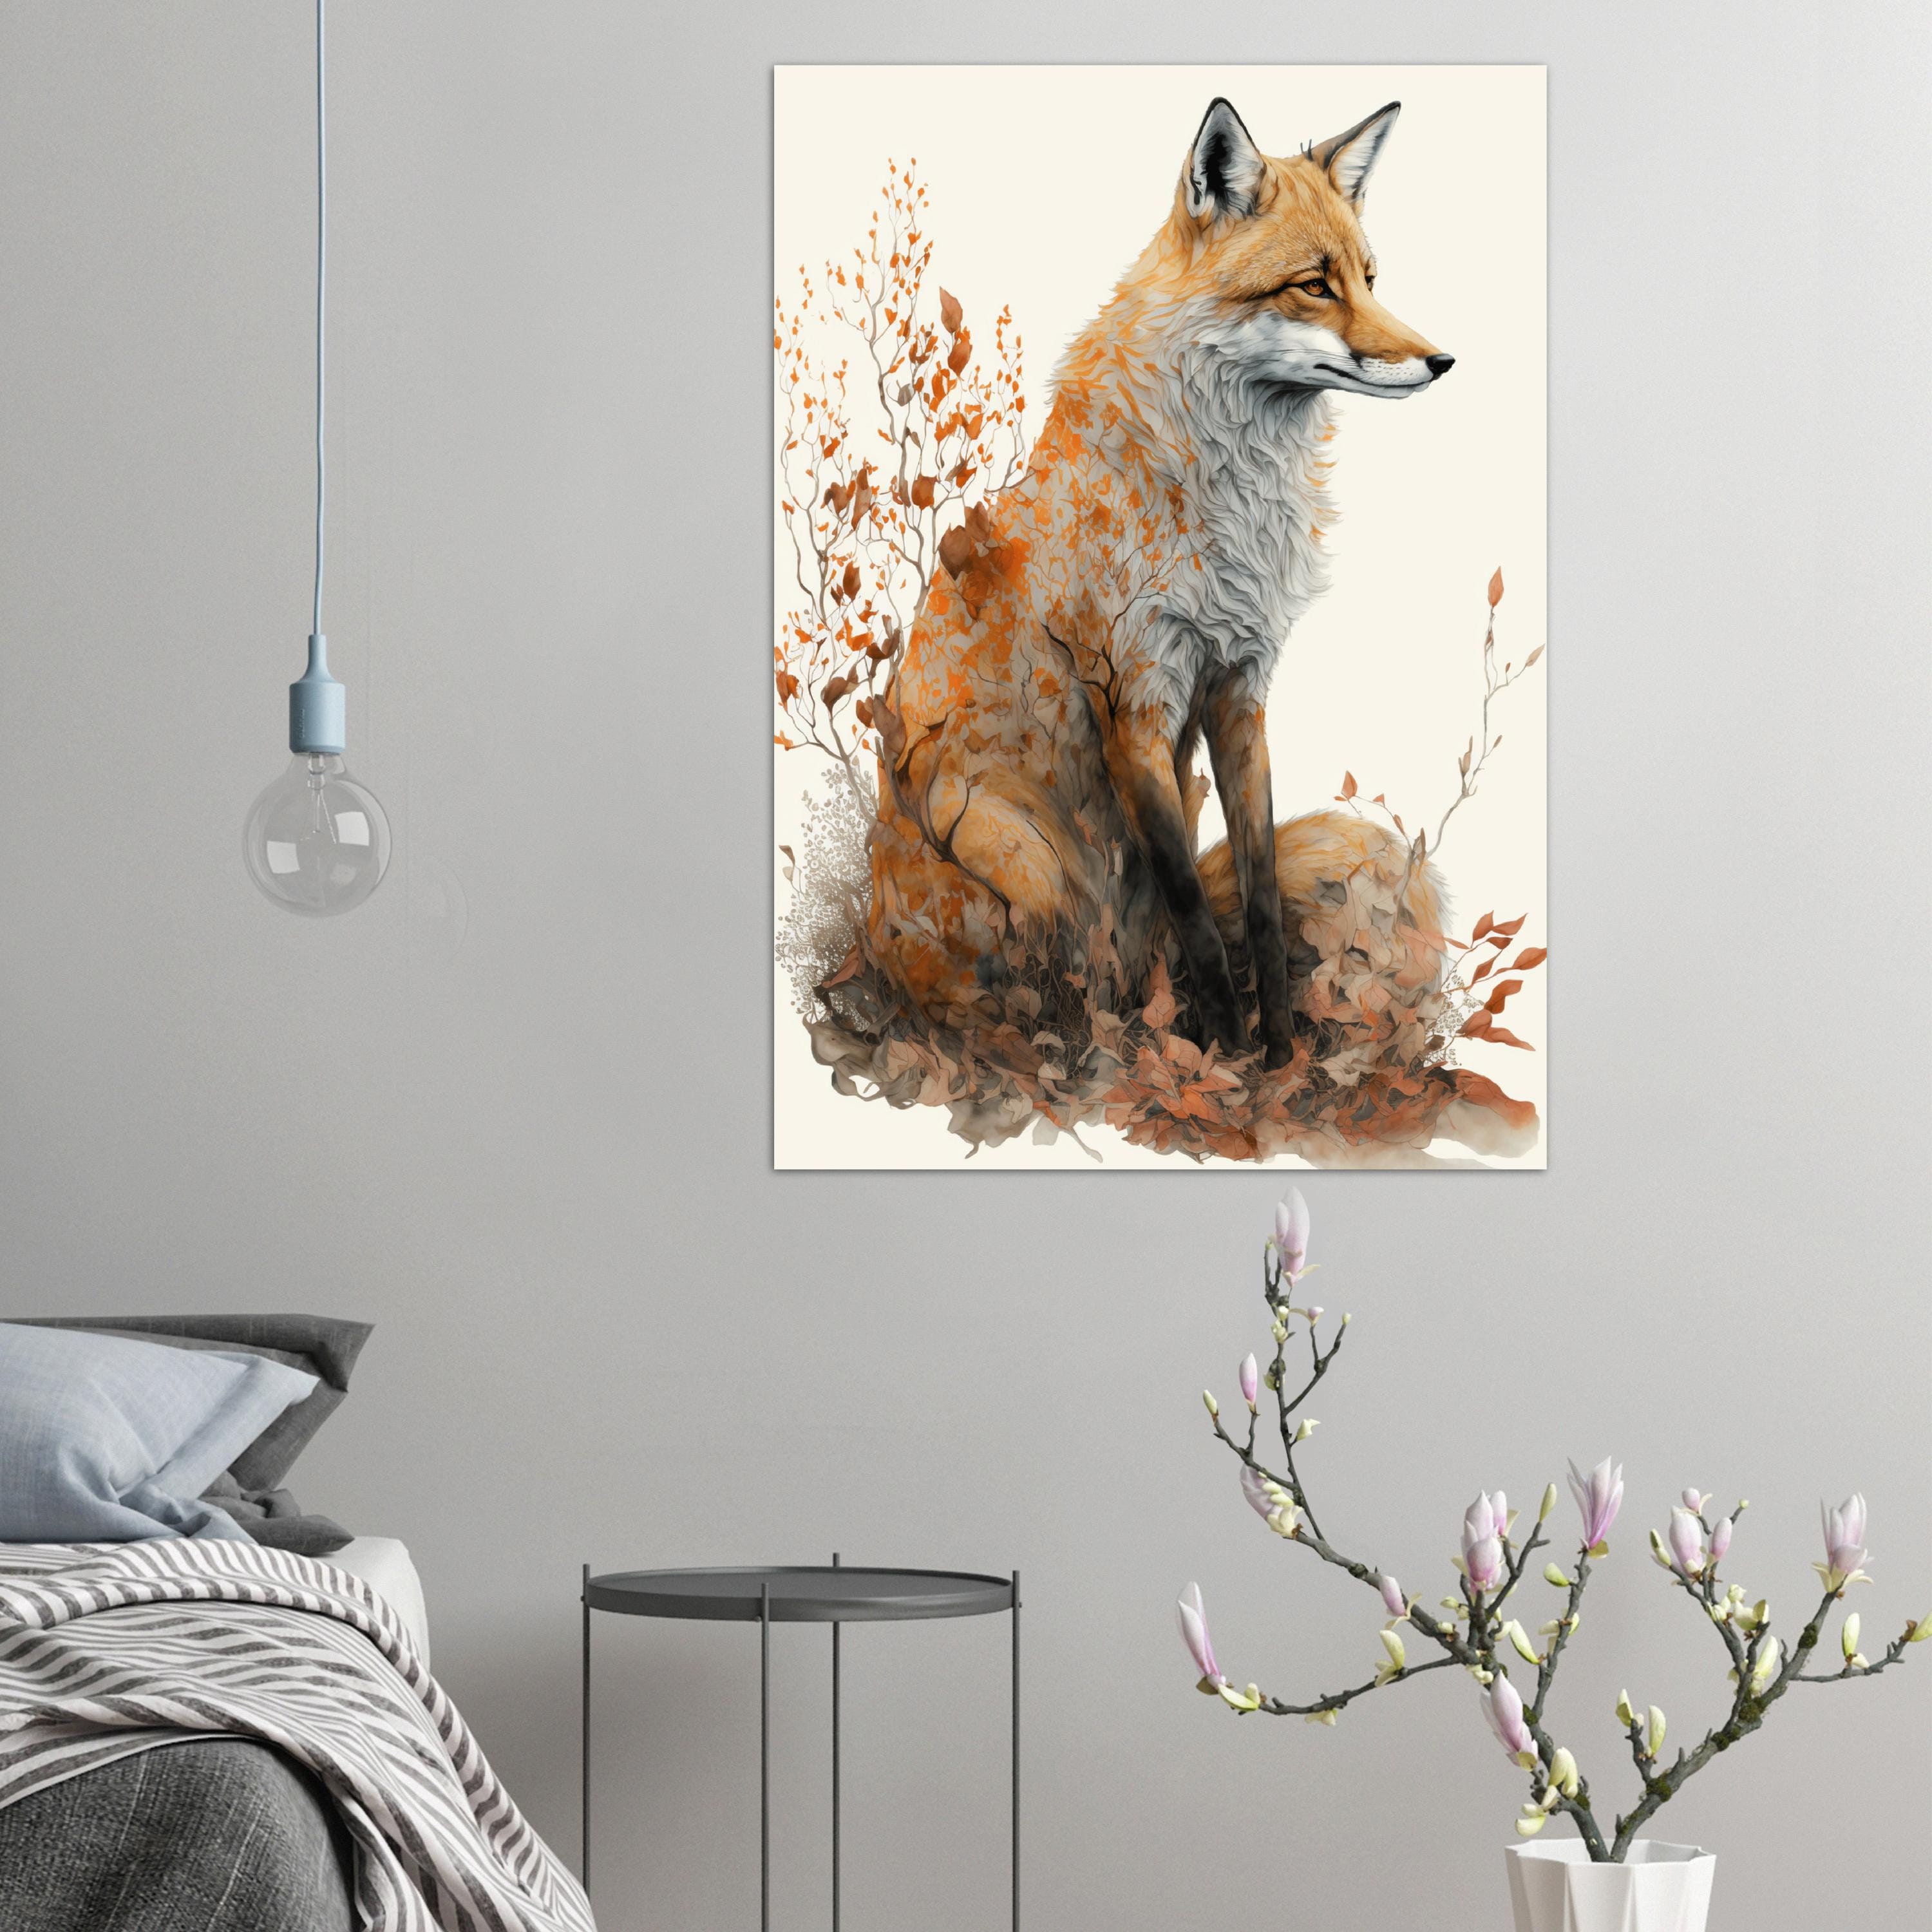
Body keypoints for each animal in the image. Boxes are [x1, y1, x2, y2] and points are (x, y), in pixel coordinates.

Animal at [866, 97, 1453, 1066]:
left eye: (1370, 279)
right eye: (1315, 285)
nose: (1443, 363)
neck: (1223, 501)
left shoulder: (1238, 692)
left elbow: (1256, 905)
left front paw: (1275, 1060)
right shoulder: (1134, 706)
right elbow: (1197, 918)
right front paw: (1225, 1057)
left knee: (1125, 957)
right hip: (1012, 849)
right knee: (1032, 987)